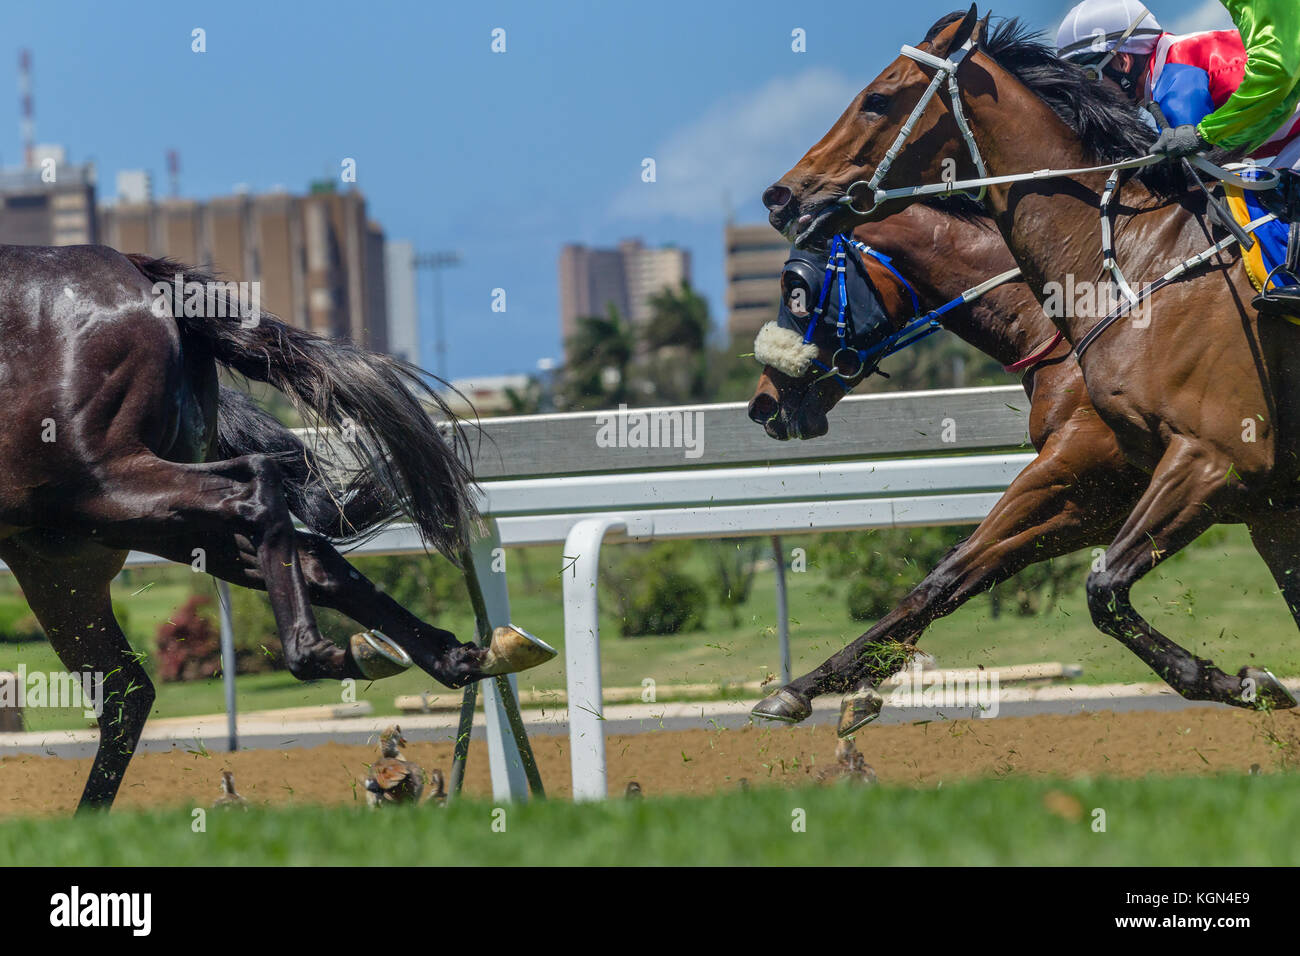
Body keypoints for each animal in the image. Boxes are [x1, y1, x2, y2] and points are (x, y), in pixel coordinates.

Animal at [0, 245, 552, 811]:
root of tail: (138, 272)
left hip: (99, 487)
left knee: (255, 490)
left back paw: (316, 651)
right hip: (81, 541)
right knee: (134, 686)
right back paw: (454, 655)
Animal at [760, 6, 1300, 723]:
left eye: (796, 287)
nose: (780, 195)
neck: (1123, 266)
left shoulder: (1207, 460)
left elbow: (1102, 588)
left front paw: (1240, 680)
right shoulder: (1128, 493)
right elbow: (948, 577)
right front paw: (808, 687)